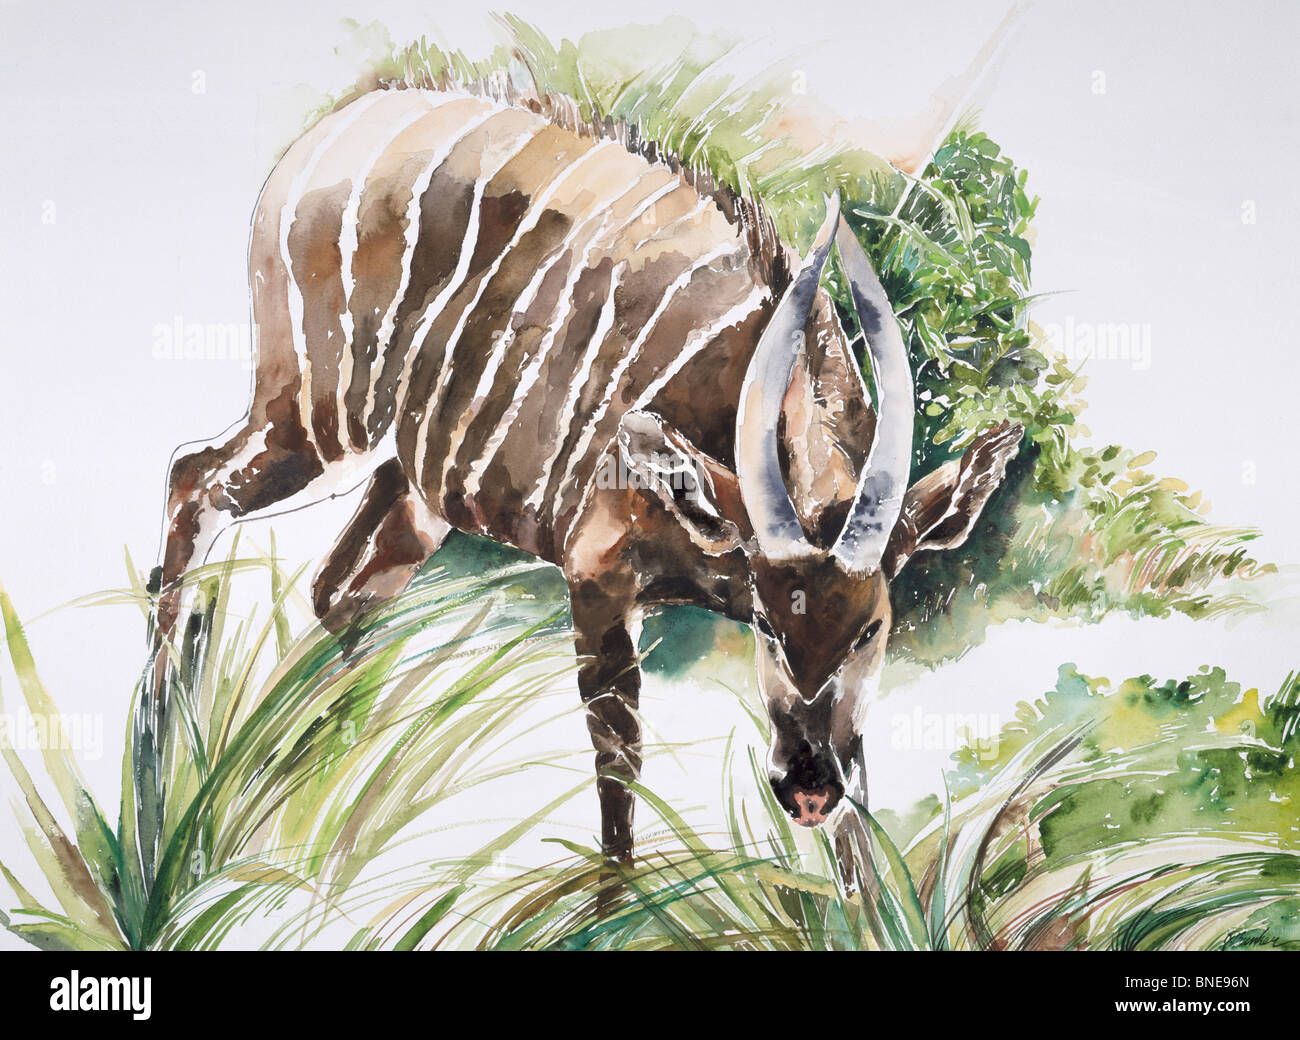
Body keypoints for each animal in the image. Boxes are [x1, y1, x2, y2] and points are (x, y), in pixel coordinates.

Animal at [149, 85, 1022, 865]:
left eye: (870, 629)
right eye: (770, 627)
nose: (805, 788)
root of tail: (321, 138)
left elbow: (859, 814)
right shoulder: (596, 572)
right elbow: (618, 767)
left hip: (413, 485)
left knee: (337, 591)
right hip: (318, 419)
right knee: (195, 479)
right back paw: (159, 757)